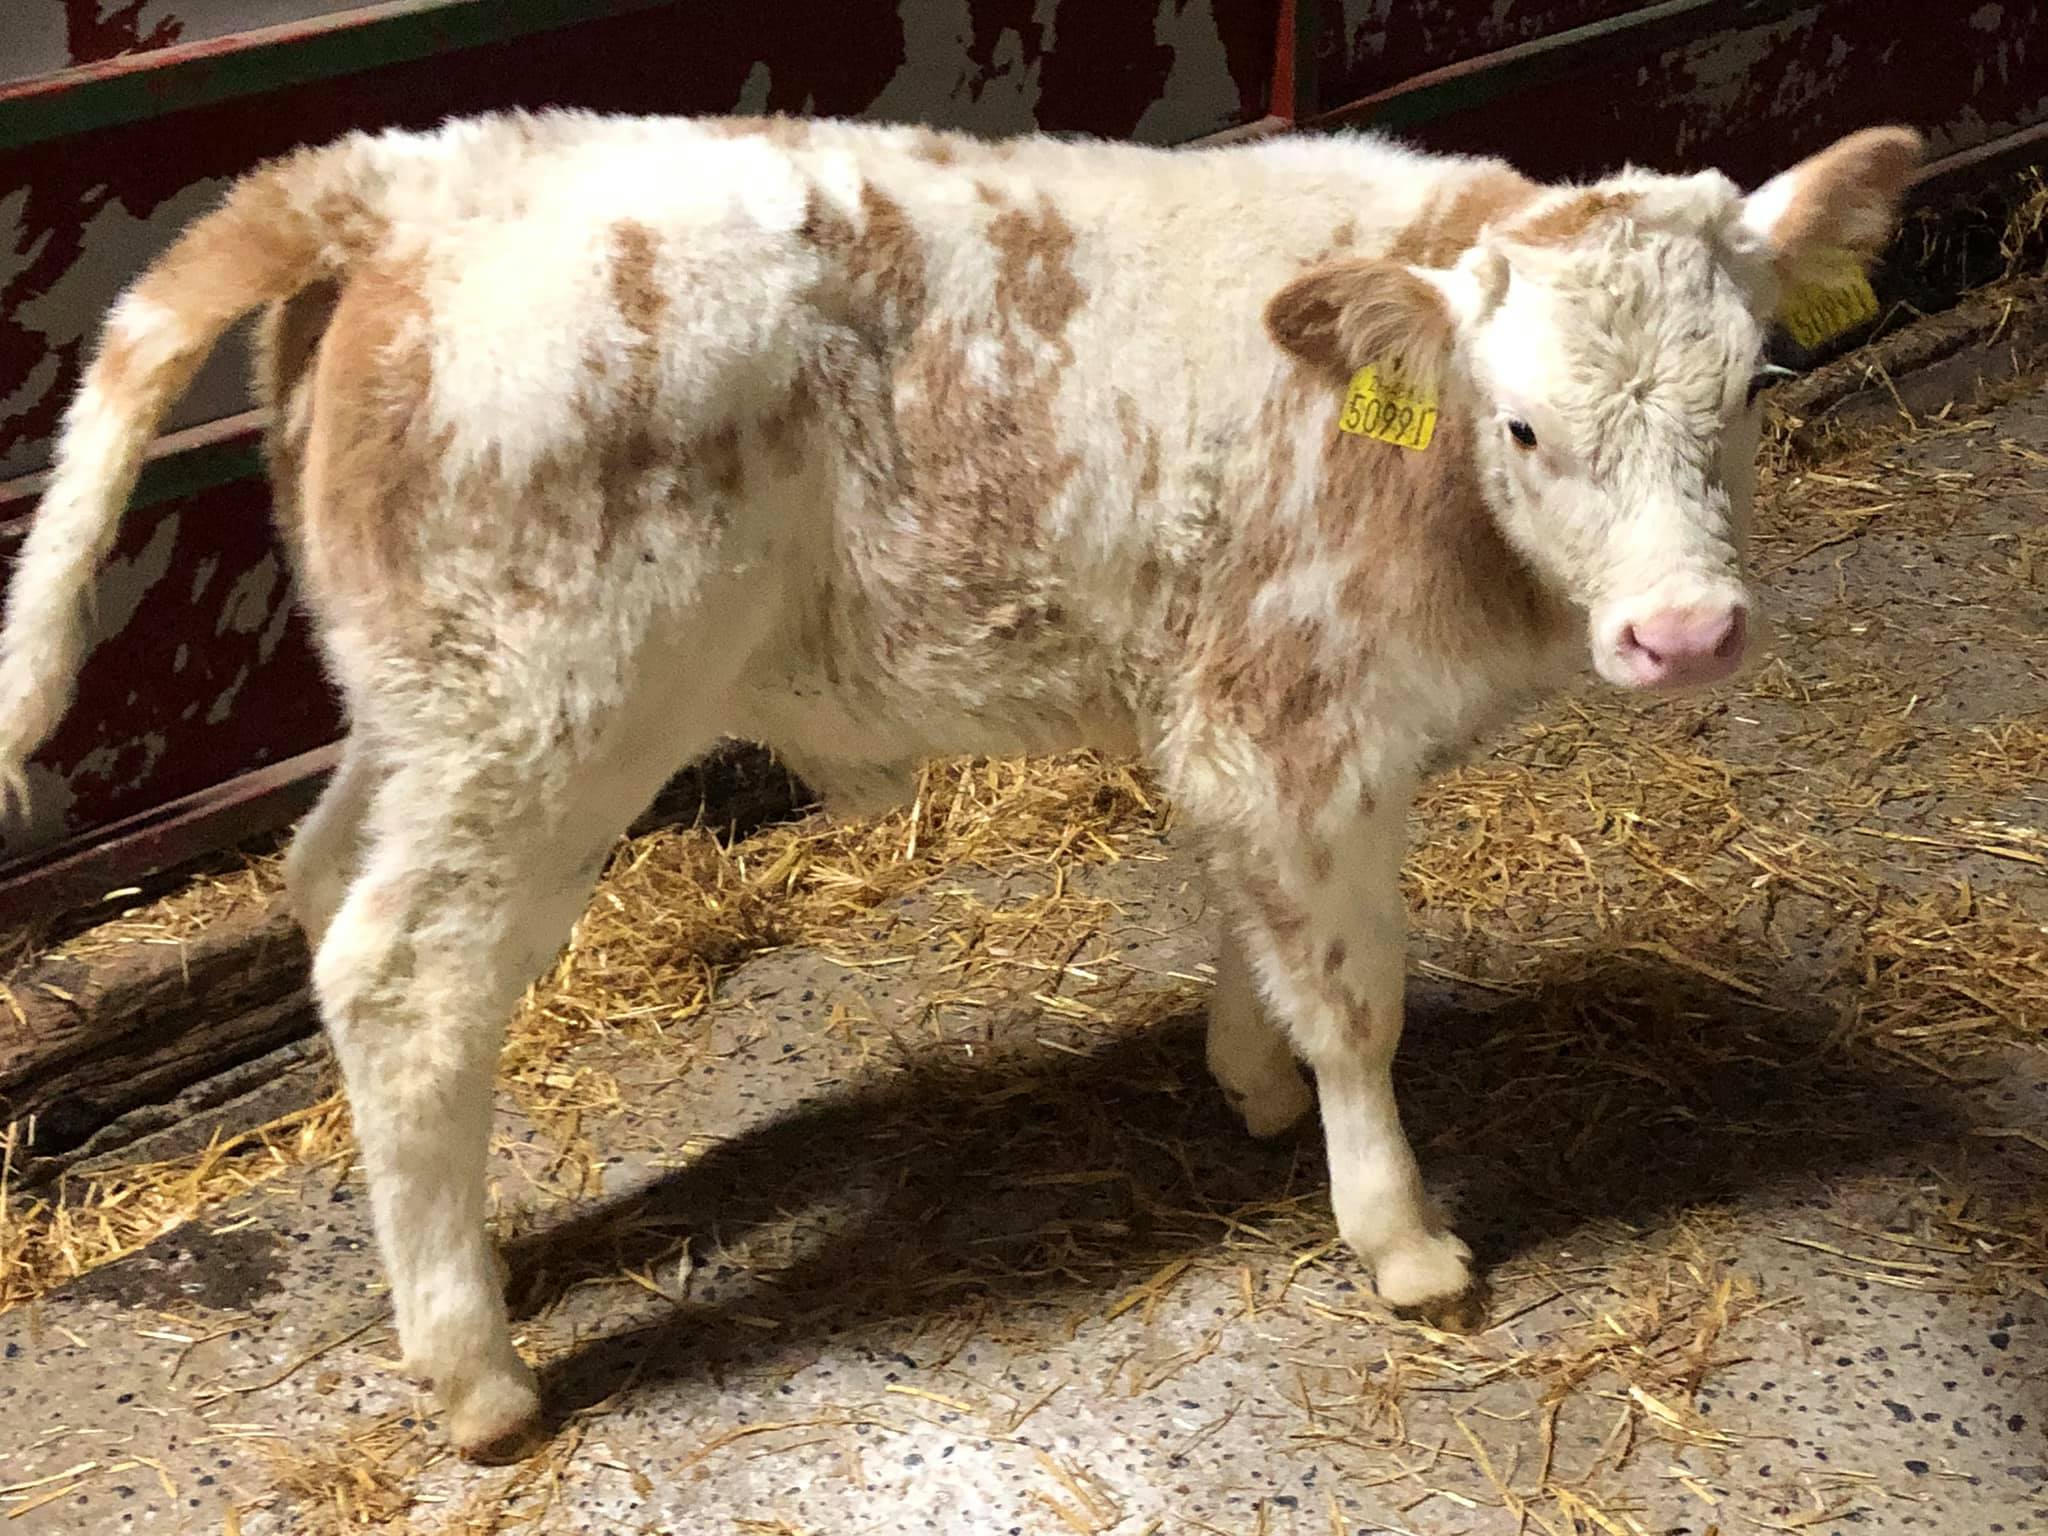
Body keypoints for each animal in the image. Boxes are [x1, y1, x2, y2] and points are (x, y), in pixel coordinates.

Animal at [0, 111, 1920, 1459]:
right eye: (1519, 426)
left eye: (1747, 385)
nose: (1685, 633)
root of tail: (403, 174)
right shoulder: (1288, 714)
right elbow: (1356, 995)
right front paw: (1401, 1238)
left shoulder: (1223, 719)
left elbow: (1254, 927)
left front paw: (1245, 1079)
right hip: (540, 715)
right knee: (402, 978)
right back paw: (478, 1375)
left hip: (420, 713)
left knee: (328, 886)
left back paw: (471, 1274)